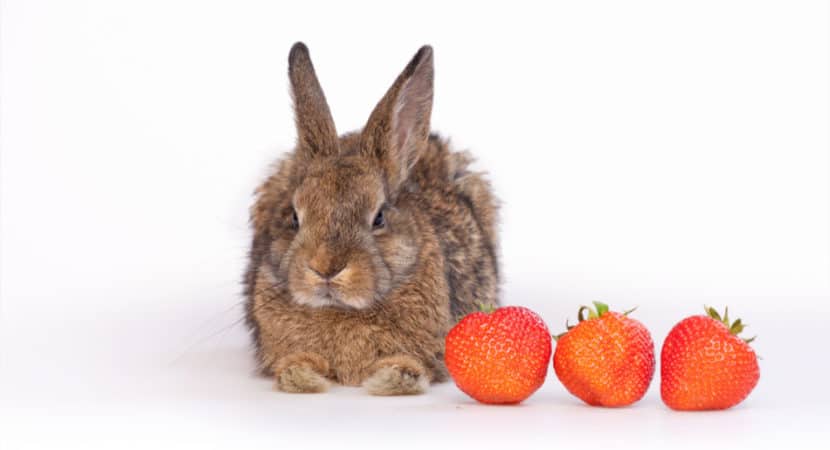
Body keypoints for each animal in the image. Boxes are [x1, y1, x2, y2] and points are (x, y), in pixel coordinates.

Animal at [243, 42, 499, 395]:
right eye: (294, 217)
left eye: (378, 218)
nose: (326, 267)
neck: (341, 309)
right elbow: (296, 363)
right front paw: (300, 375)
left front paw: (393, 378)